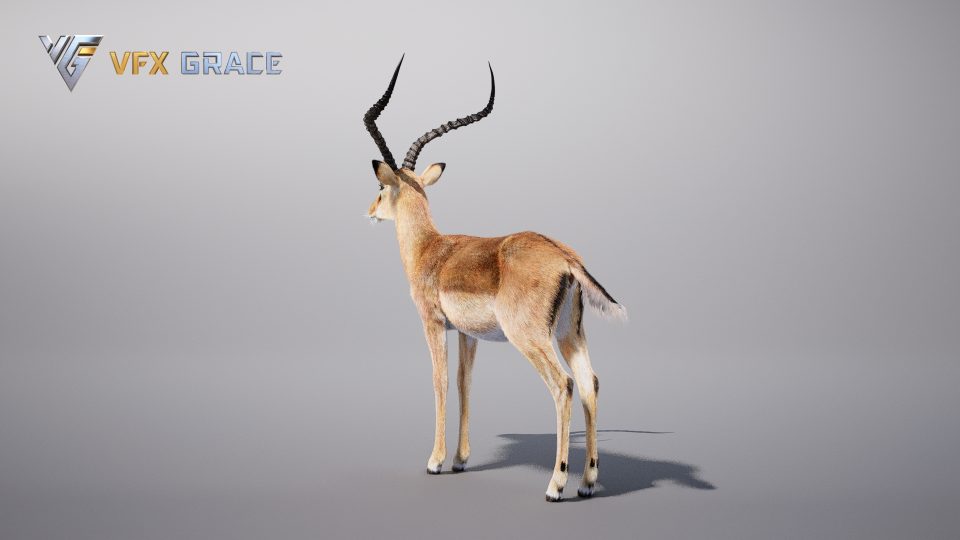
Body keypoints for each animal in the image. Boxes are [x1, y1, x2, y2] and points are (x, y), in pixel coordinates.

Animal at [363, 56, 626, 501]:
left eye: (382, 188)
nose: (369, 211)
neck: (431, 249)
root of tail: (565, 258)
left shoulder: (433, 323)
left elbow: (439, 381)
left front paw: (435, 461)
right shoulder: (468, 334)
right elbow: (464, 383)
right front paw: (460, 460)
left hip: (530, 337)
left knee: (564, 385)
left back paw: (556, 485)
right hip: (569, 333)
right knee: (590, 382)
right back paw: (588, 483)